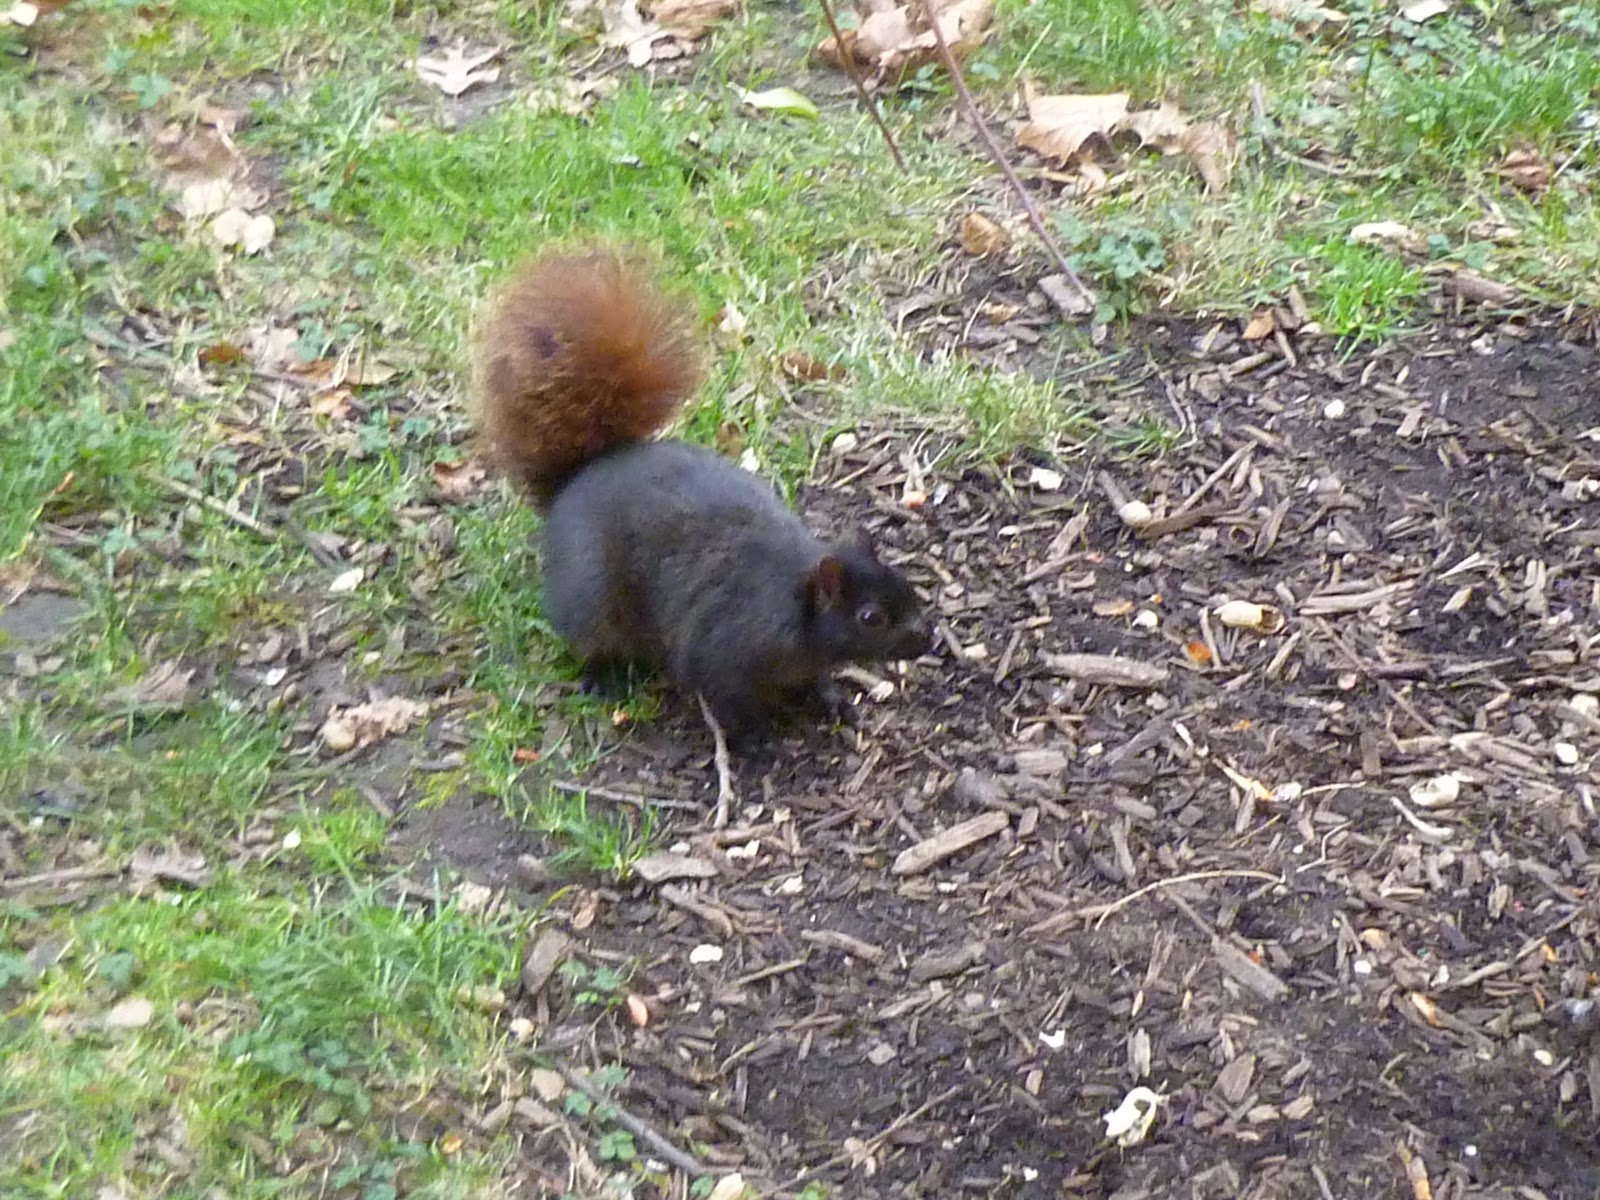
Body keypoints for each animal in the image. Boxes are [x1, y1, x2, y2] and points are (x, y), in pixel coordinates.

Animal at [473, 243, 932, 746]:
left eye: (907, 586)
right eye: (870, 618)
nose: (927, 638)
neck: (794, 602)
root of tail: (575, 483)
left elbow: (816, 680)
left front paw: (833, 699)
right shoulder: (720, 652)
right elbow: (725, 699)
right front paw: (757, 739)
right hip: (591, 604)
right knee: (590, 645)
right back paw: (602, 679)